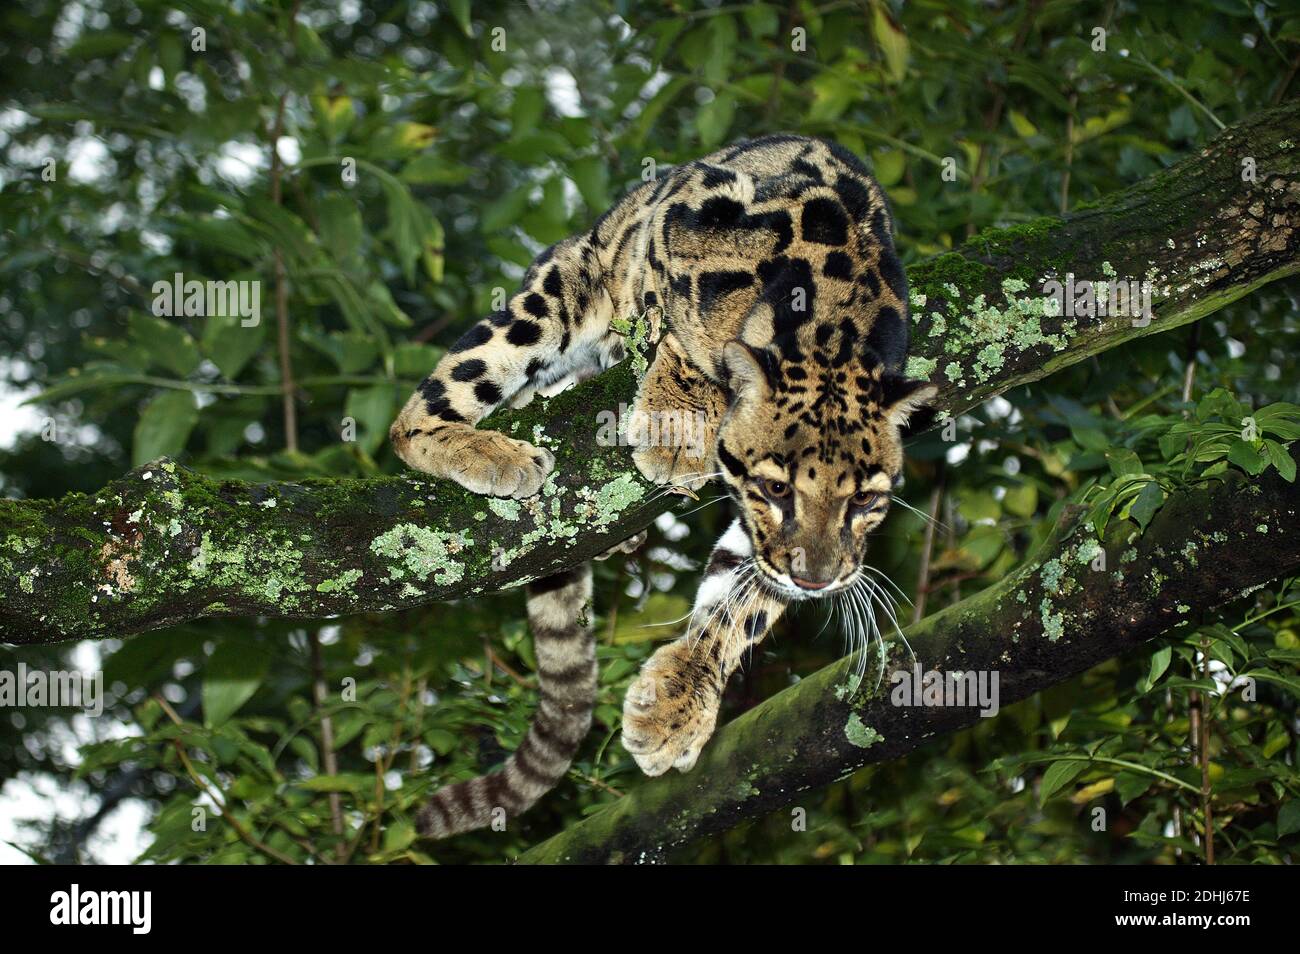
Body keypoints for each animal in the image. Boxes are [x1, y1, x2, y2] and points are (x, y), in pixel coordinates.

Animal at [390, 134, 935, 838]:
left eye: (865, 500)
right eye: (777, 490)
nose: (817, 580)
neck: (838, 327)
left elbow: (743, 604)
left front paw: (679, 701)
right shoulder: (679, 216)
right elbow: (674, 320)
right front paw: (680, 420)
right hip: (556, 290)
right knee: (422, 413)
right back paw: (484, 448)